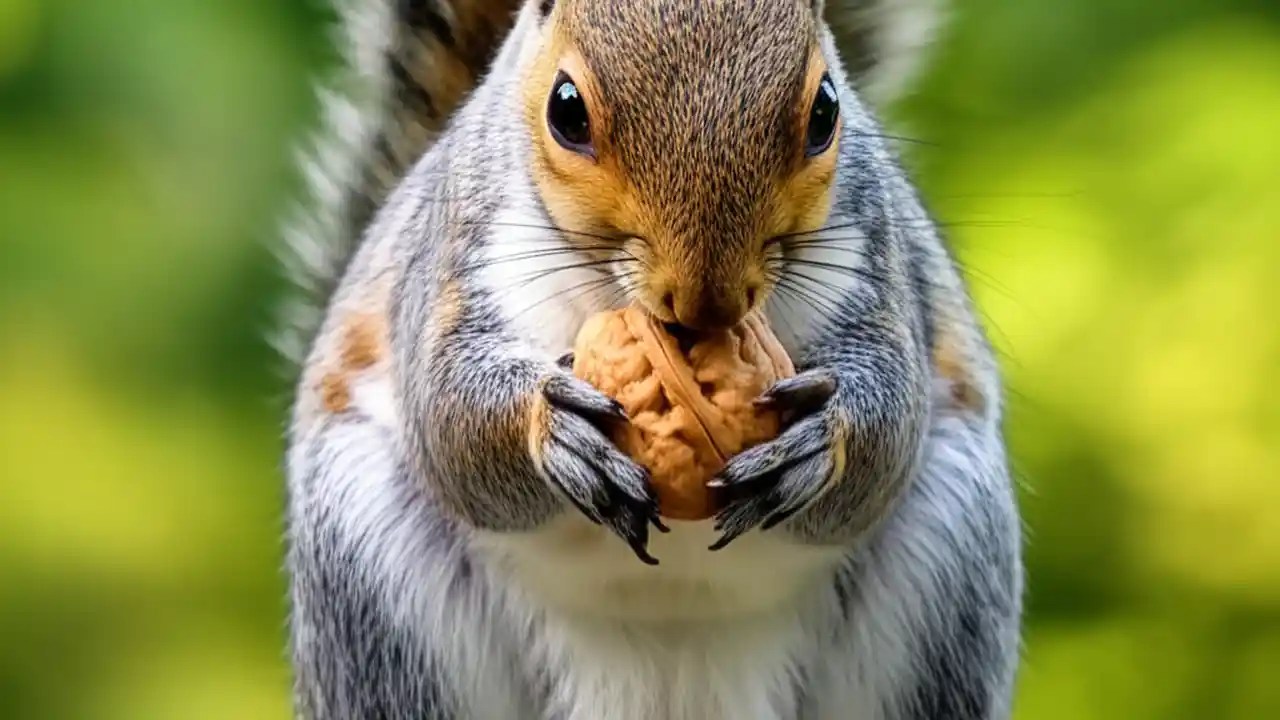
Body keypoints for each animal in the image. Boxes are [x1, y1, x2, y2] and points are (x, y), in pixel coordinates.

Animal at [281, 1, 1023, 718]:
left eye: (825, 111)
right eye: (566, 111)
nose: (706, 300)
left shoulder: (878, 260)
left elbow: (890, 427)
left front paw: (818, 440)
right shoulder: (453, 260)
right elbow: (448, 419)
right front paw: (553, 426)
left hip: (949, 569)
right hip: (375, 594)